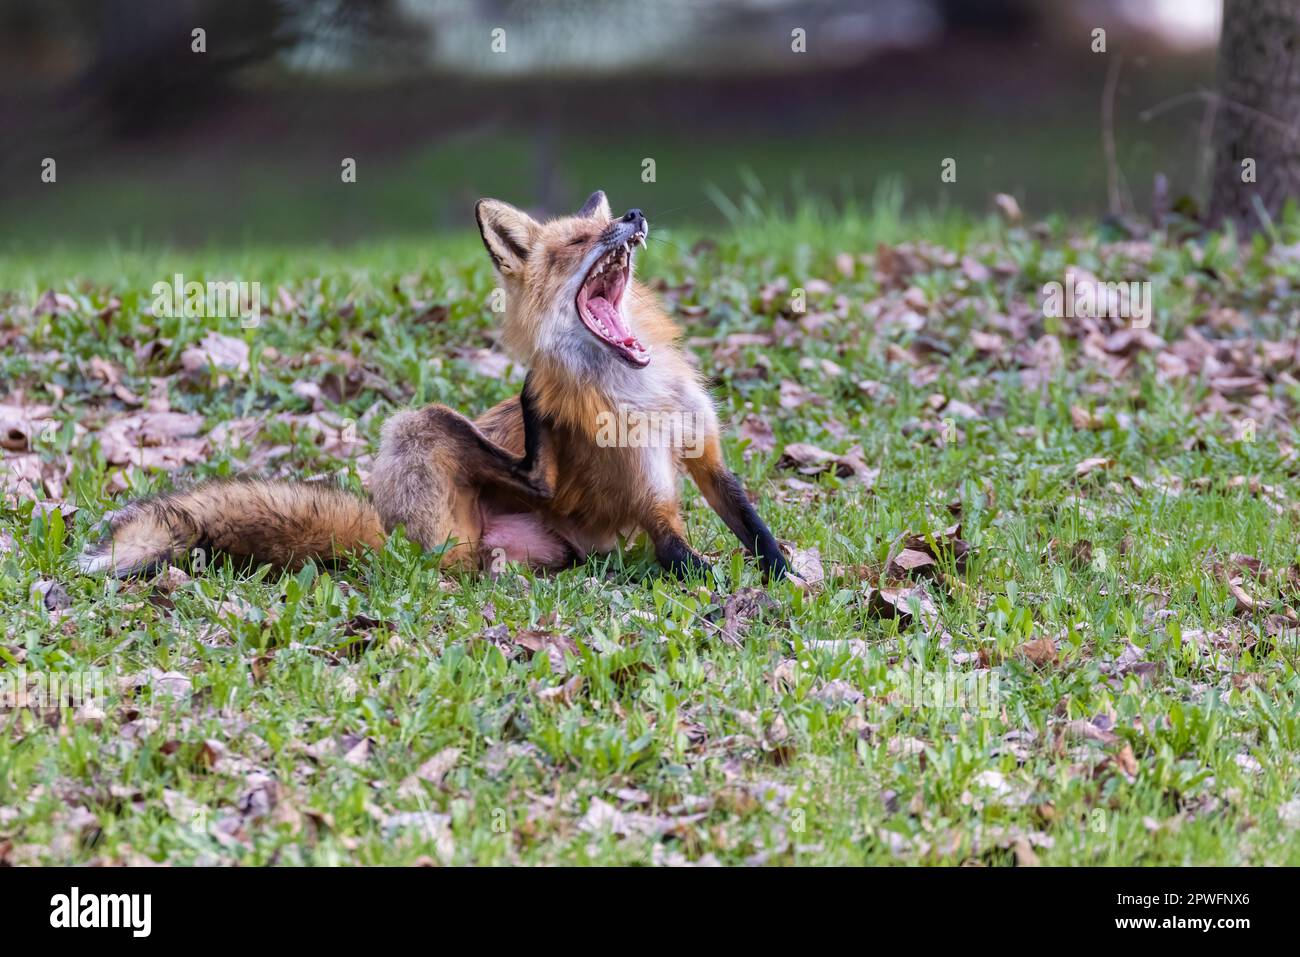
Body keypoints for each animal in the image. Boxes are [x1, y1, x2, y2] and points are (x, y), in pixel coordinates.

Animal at [78, 191, 789, 583]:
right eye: (580, 241)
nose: (636, 214)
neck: (642, 395)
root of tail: (388, 529)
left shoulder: (704, 451)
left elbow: (753, 527)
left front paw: (786, 576)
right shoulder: (650, 497)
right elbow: (684, 559)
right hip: (419, 429)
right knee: (461, 551)